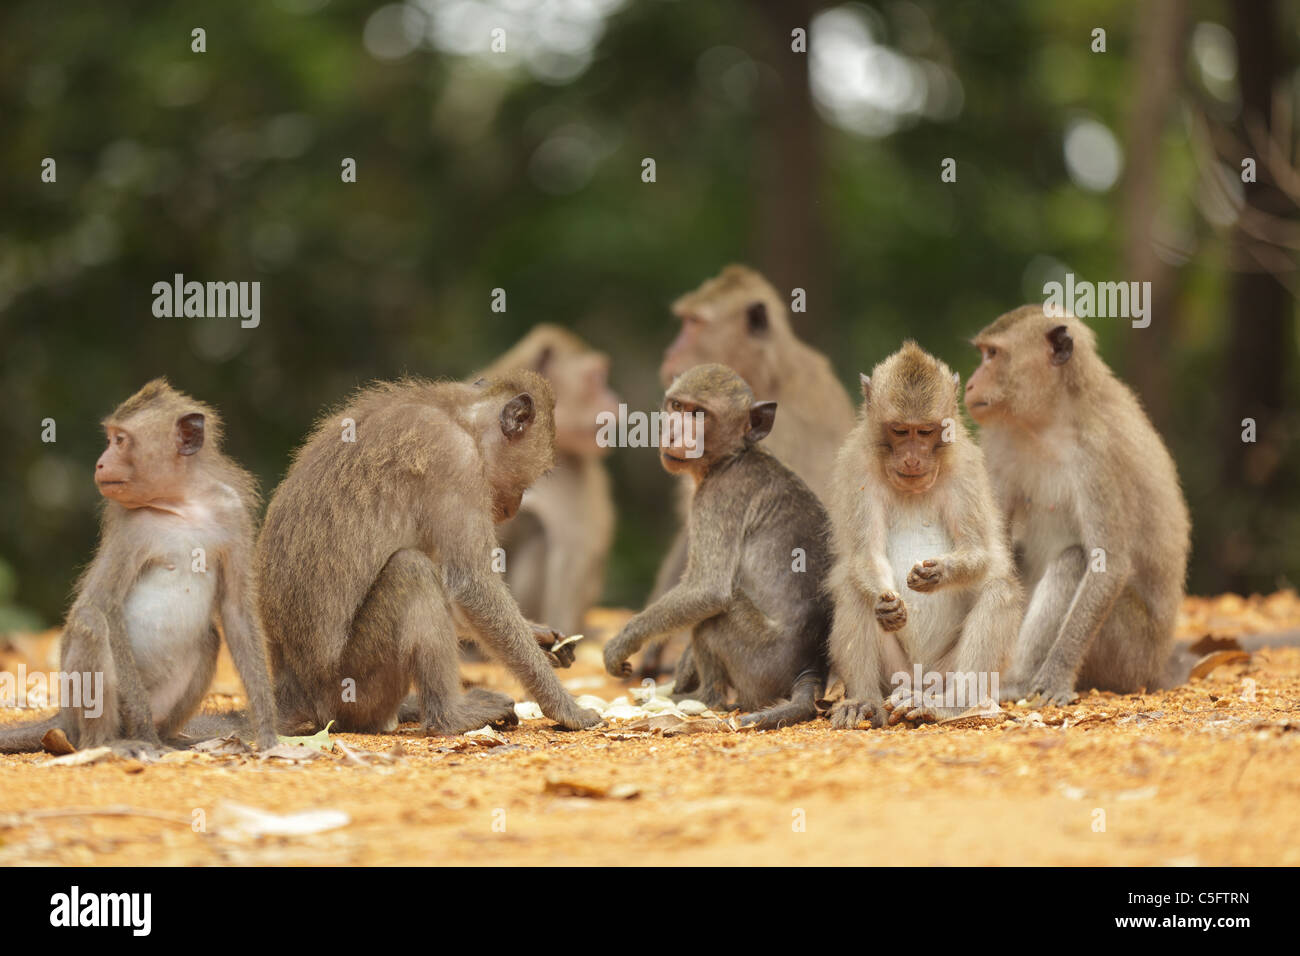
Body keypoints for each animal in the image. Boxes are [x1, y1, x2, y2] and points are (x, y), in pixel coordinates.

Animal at [0, 379, 278, 755]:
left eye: (120, 440)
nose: (101, 463)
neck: (183, 503)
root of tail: (61, 717)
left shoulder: (232, 512)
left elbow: (236, 610)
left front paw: (268, 734)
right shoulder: (130, 528)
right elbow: (103, 604)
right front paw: (142, 731)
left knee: (209, 638)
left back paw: (172, 738)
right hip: (80, 706)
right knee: (91, 621)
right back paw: (110, 741)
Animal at [254, 371, 603, 736]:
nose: (515, 507)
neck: (462, 417)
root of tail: (292, 692)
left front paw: (540, 635)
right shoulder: (457, 462)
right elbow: (471, 585)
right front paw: (565, 707)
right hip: (351, 686)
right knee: (412, 570)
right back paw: (448, 717)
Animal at [602, 364, 832, 730]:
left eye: (699, 414)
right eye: (677, 406)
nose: (671, 435)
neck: (732, 457)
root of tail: (812, 670)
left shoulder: (717, 497)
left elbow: (707, 590)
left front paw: (624, 643)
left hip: (759, 666)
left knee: (716, 617)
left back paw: (702, 699)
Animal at [827, 343, 1022, 729]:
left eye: (927, 432)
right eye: (901, 431)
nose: (913, 459)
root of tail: (917, 679)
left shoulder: (966, 468)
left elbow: (981, 553)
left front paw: (940, 573)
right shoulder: (857, 466)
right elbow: (865, 557)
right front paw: (886, 605)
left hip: (942, 673)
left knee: (1001, 592)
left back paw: (950, 706)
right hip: (895, 674)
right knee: (853, 591)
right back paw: (863, 701)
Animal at [964, 306, 1191, 704]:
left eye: (993, 354)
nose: (971, 384)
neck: (1048, 423)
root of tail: (1157, 665)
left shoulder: (1099, 456)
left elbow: (1107, 564)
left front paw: (1055, 675)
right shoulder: (1001, 443)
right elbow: (995, 553)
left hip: (1129, 654)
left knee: (1073, 561)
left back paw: (1016, 681)